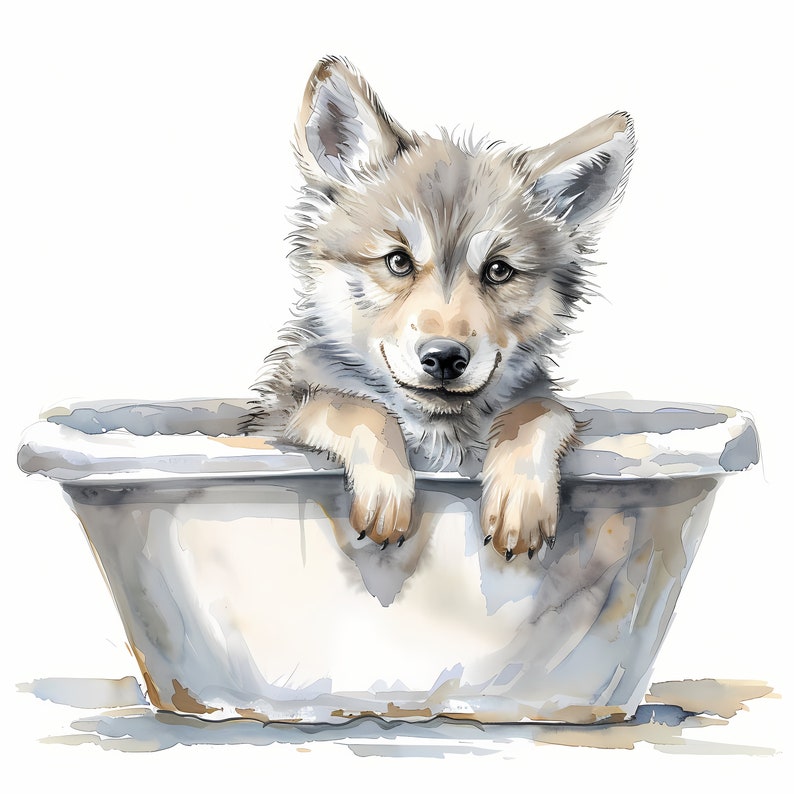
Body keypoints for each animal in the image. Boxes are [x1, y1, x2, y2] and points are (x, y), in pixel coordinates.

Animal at [247, 56, 634, 561]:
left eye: (498, 270)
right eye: (398, 261)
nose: (445, 359)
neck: (439, 435)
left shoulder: (543, 402)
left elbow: (540, 413)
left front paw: (520, 497)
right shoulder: (286, 410)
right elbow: (353, 407)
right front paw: (386, 492)